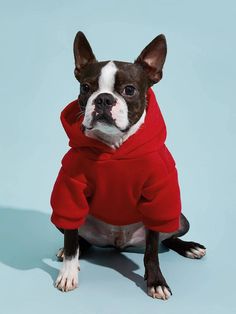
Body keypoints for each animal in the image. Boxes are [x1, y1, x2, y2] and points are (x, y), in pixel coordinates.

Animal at [50, 31, 206, 300]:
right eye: (85, 87)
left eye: (129, 90)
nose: (103, 99)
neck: (114, 146)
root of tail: (118, 243)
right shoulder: (69, 192)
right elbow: (71, 241)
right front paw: (68, 273)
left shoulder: (158, 196)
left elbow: (152, 251)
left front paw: (156, 281)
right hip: (62, 217)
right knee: (80, 239)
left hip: (179, 218)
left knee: (166, 239)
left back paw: (189, 247)